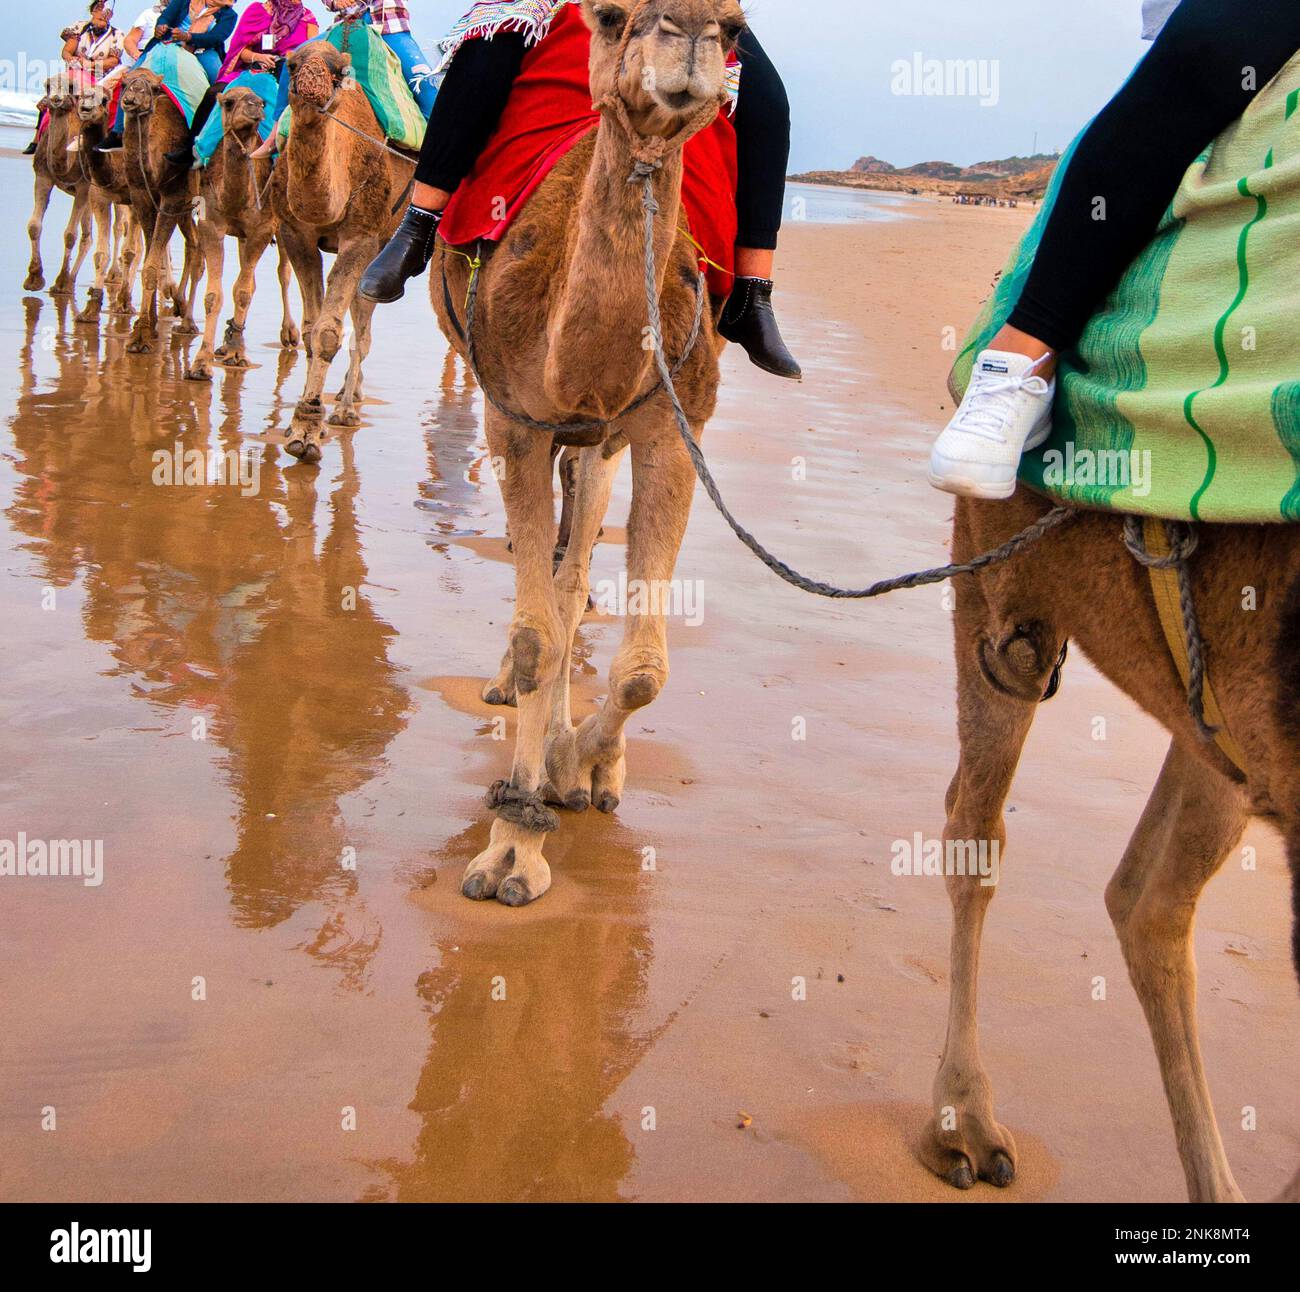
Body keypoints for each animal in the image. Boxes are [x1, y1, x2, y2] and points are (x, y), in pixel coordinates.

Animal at [24, 75, 113, 305]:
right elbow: (34, 226)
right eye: (48, 85)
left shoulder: (83, 187)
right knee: (88, 235)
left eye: (71, 87)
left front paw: (61, 281)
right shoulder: (43, 176)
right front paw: (34, 279)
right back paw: (72, 282)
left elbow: (70, 235)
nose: (56, 99)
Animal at [118, 67, 201, 354]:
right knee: (194, 245)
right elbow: (149, 261)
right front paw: (148, 324)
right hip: (186, 209)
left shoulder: (173, 198)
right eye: (125, 83)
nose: (131, 99)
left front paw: (141, 335)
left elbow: (152, 266)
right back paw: (179, 305)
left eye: (153, 88)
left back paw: (187, 320)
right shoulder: (142, 197)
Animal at [189, 84, 301, 382]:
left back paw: (290, 333)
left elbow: (242, 291)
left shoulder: (261, 229)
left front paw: (237, 354)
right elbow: (214, 295)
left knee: (283, 272)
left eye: (261, 101)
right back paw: (227, 341)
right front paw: (201, 363)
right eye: (228, 102)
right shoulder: (211, 225)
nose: (255, 107)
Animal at [271, 40, 410, 464]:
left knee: (362, 330)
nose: (312, 88)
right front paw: (297, 426)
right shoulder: (294, 233)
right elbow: (311, 329)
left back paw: (347, 409)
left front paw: (308, 431)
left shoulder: (361, 236)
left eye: (339, 73)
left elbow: (329, 333)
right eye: (291, 64)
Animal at [428, 0, 742, 906]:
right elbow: (539, 635)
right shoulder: (515, 422)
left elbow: (641, 668)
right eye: (610, 16)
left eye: (738, 34)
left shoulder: (672, 427)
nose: (694, 31)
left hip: (605, 441)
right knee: (550, 595)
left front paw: (580, 768)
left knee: (575, 576)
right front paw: (513, 842)